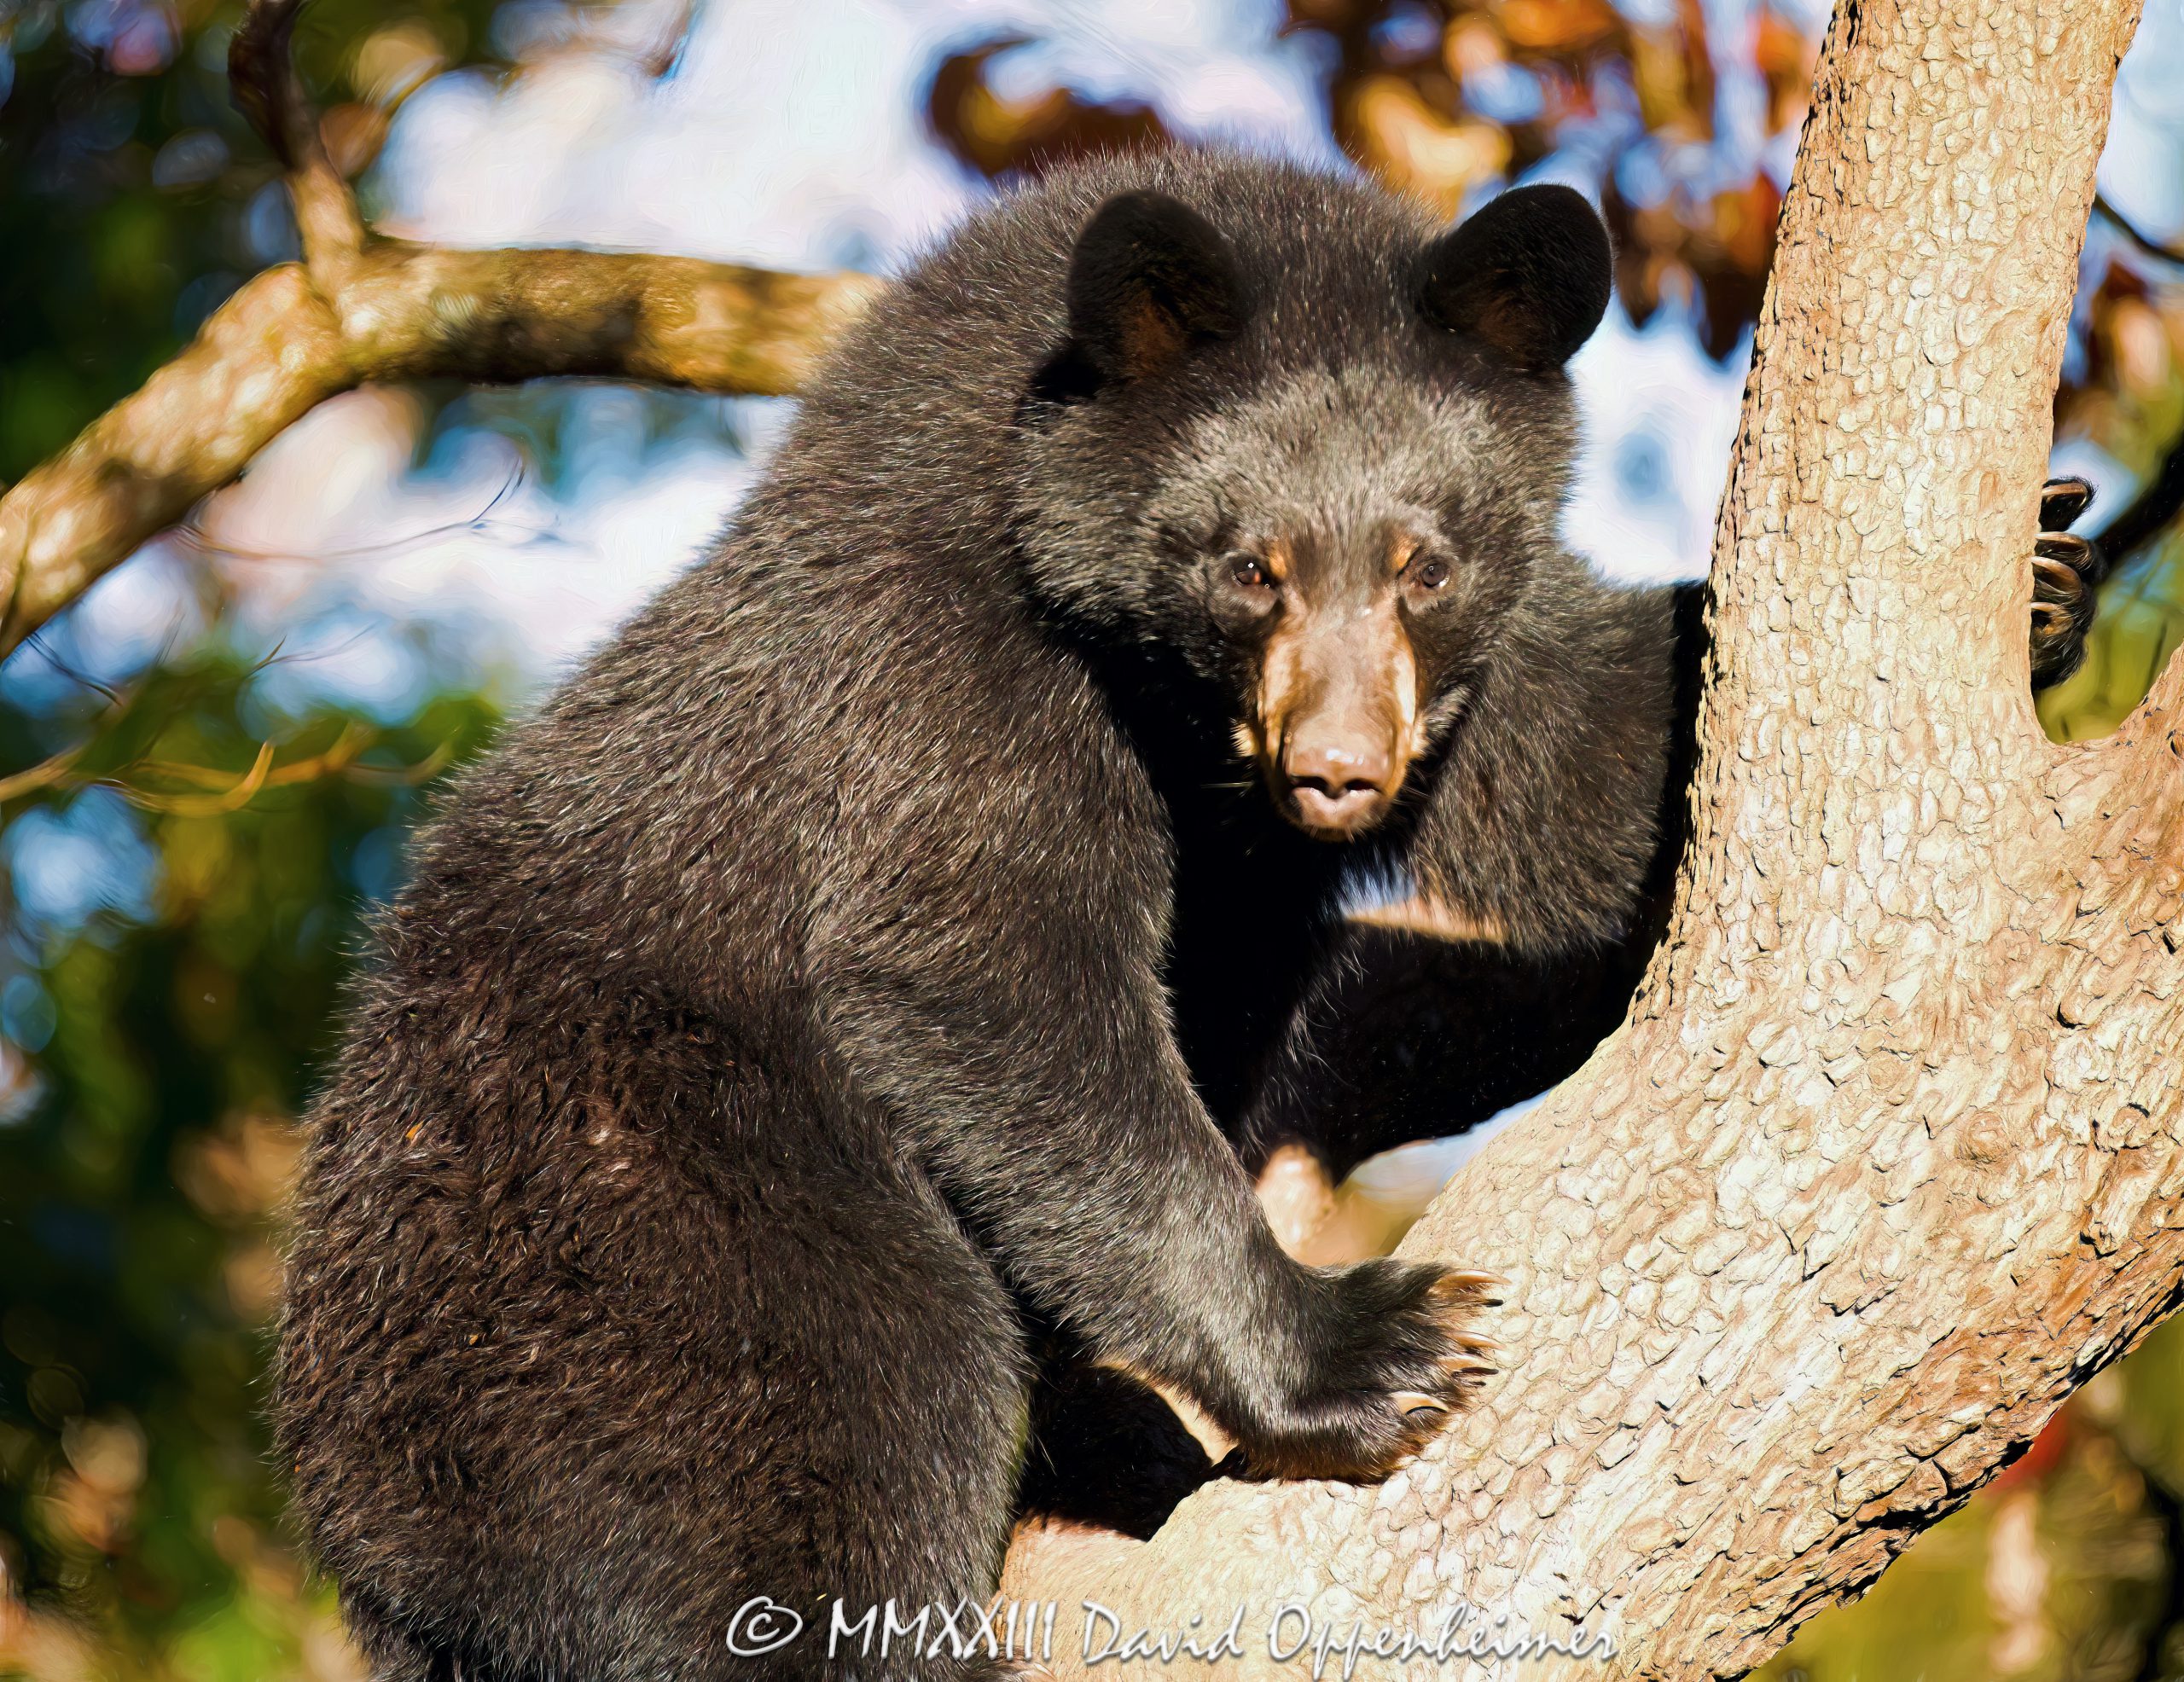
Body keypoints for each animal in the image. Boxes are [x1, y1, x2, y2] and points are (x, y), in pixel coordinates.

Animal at [276, 149, 2105, 1682]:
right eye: (1252, 566)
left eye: (1422, 564)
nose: (1341, 772)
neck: (1167, 700)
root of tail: (354, 1513)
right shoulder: (944, 676)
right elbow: (991, 978)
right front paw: (1368, 1344)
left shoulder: (1458, 679)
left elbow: (1586, 753)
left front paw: (2040, 579)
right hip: (645, 1222)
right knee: (825, 1452)